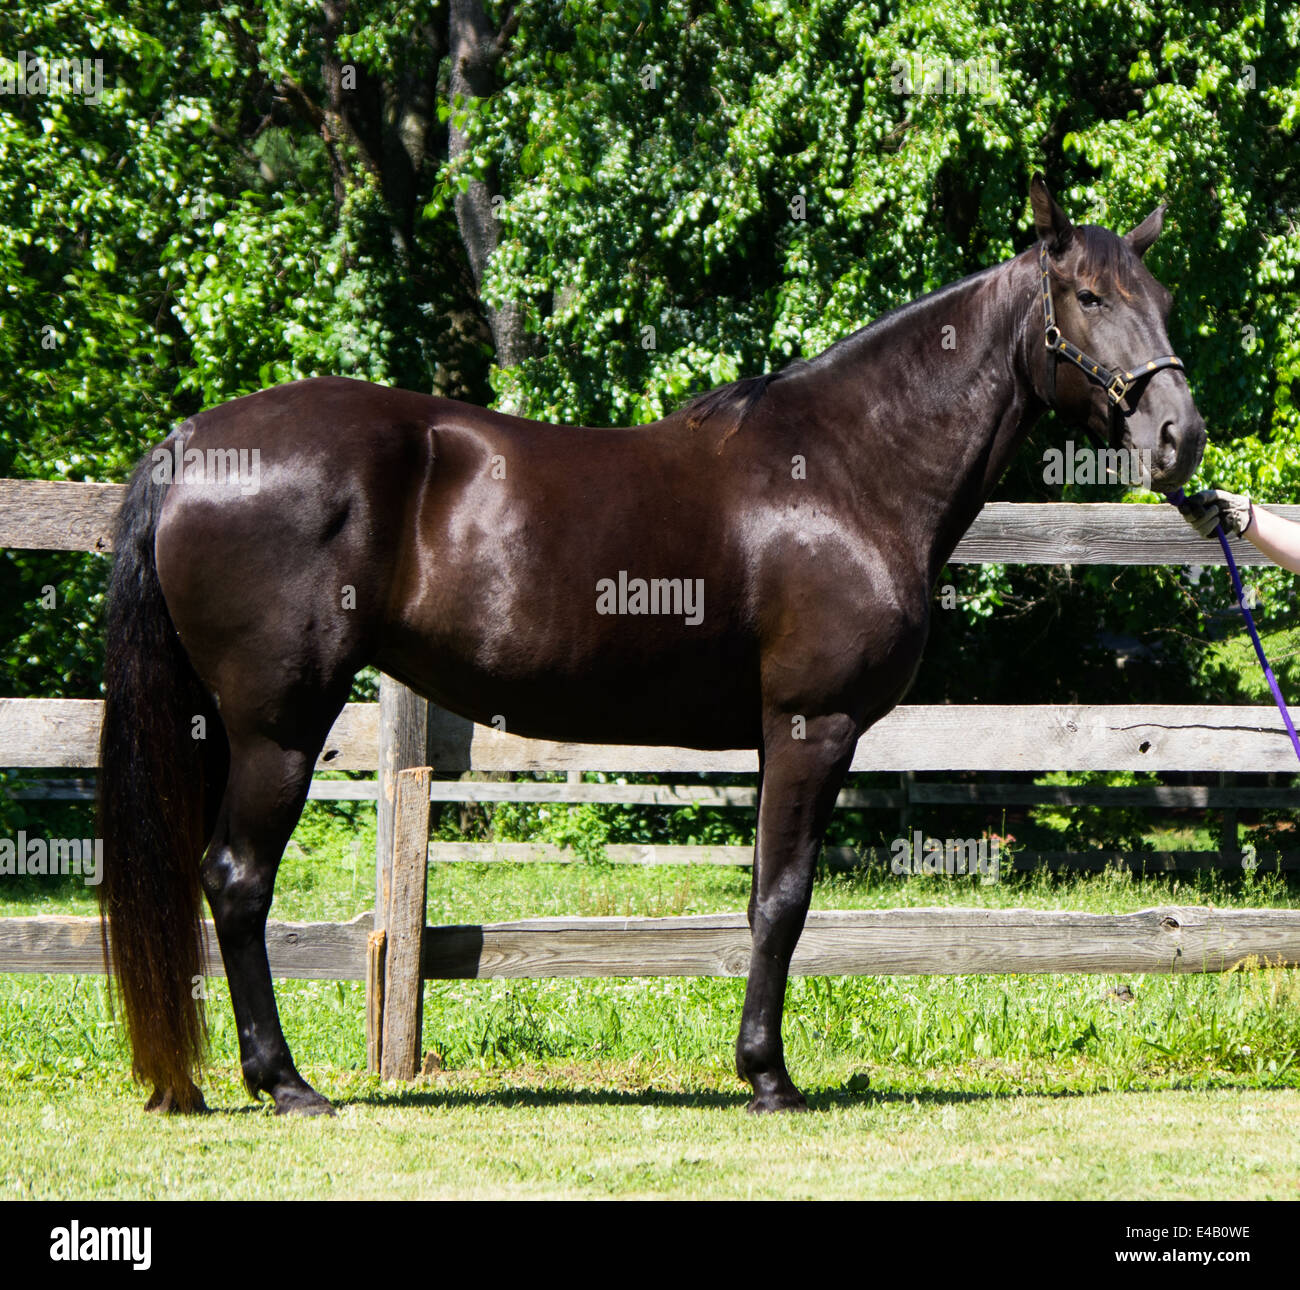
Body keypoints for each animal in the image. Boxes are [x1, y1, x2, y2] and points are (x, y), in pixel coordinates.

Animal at [97, 175, 1205, 1115]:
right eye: (1090, 296)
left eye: (1161, 295)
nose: (1178, 437)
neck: (848, 471)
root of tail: (191, 444)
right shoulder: (812, 725)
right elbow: (783, 901)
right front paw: (768, 1077)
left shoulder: (785, 736)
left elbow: (764, 897)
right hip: (278, 726)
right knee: (238, 878)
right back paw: (284, 1083)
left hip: (222, 724)